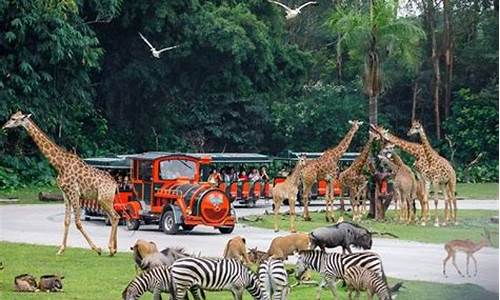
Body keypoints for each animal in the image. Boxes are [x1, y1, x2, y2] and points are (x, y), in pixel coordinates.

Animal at [2, 112, 120, 255]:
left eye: (14, 119)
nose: (4, 126)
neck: (59, 164)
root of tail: (115, 184)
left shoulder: (74, 192)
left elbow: (78, 223)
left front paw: (97, 249)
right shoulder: (65, 193)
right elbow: (67, 221)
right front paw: (61, 249)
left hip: (104, 198)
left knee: (115, 216)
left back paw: (111, 249)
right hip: (104, 199)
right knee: (115, 217)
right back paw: (114, 248)